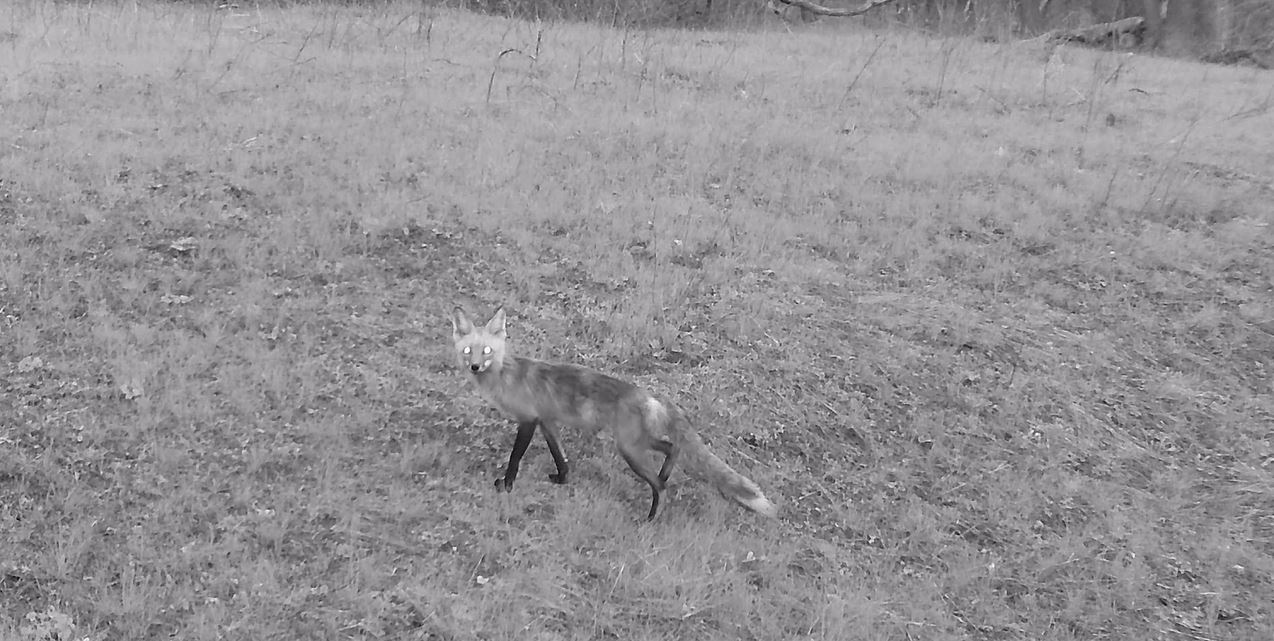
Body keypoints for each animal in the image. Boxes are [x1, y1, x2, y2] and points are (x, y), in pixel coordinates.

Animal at [451, 306, 778, 521]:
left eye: (487, 351)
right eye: (468, 351)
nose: (475, 367)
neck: (505, 375)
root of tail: (650, 396)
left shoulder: (528, 420)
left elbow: (515, 458)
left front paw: (506, 486)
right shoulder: (547, 422)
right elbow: (560, 457)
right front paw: (562, 479)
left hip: (629, 450)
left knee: (660, 484)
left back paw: (651, 518)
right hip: (635, 443)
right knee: (672, 448)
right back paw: (666, 473)